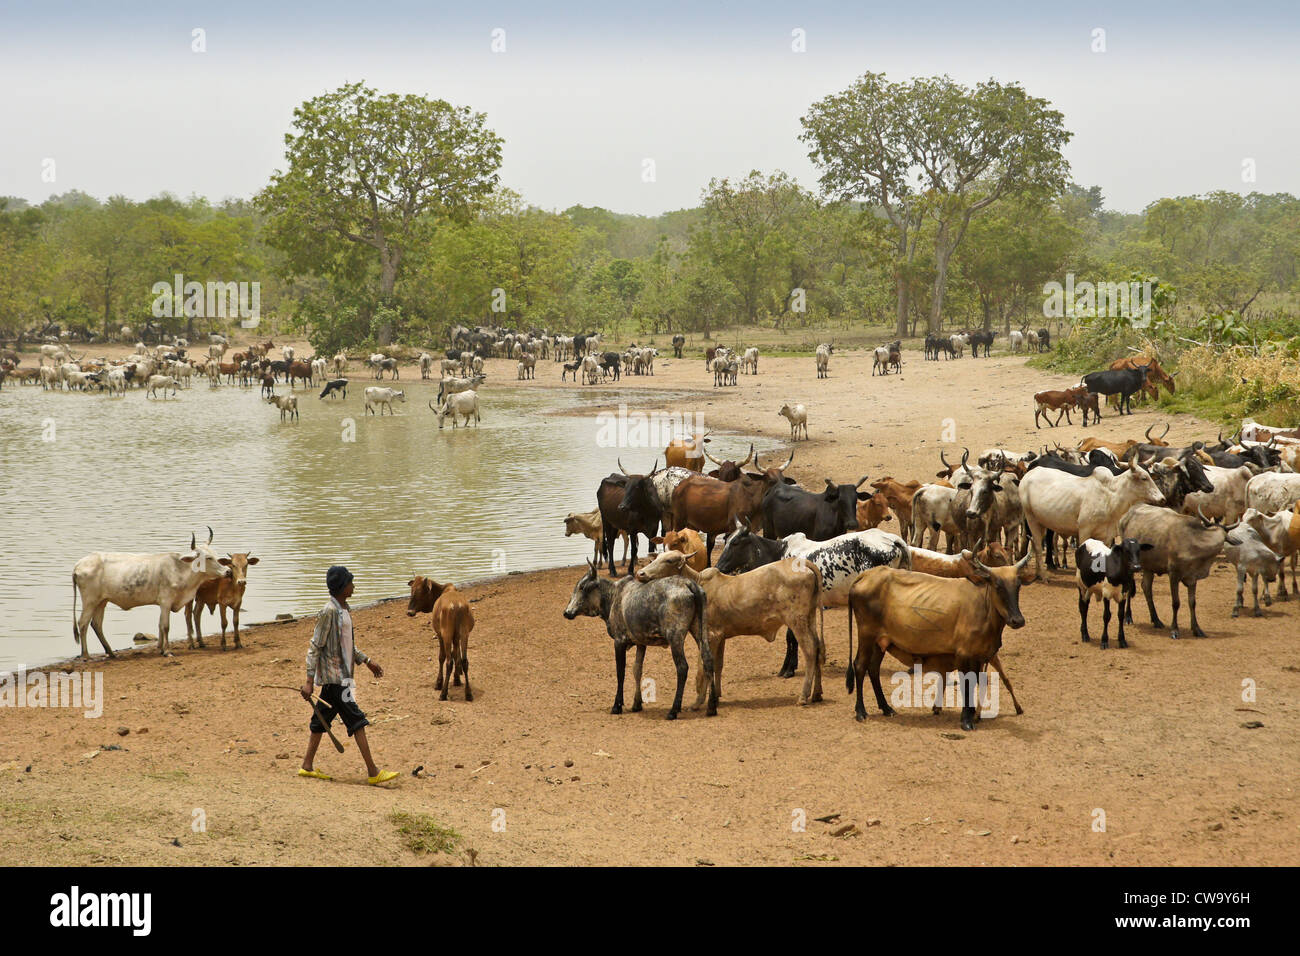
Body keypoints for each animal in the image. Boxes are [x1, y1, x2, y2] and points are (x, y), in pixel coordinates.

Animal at [72, 527, 233, 658]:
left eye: (216, 555)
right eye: (208, 558)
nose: (228, 571)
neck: (179, 570)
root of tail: (79, 564)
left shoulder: (162, 603)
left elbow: (160, 625)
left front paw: (161, 649)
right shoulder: (166, 601)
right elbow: (165, 626)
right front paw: (167, 651)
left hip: (102, 601)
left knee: (97, 624)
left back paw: (110, 653)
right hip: (90, 600)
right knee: (83, 623)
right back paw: (86, 655)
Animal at [563, 563, 716, 719]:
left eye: (582, 587)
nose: (567, 612)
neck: (613, 597)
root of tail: (689, 583)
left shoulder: (619, 641)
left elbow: (620, 672)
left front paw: (617, 705)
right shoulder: (641, 643)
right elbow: (637, 670)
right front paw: (636, 704)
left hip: (675, 636)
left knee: (682, 667)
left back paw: (674, 710)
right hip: (699, 629)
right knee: (708, 659)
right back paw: (711, 707)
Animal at [635, 551, 824, 708]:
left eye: (668, 560)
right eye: (656, 558)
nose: (640, 573)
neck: (697, 584)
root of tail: (804, 563)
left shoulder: (709, 636)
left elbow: (704, 666)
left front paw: (698, 701)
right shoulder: (721, 637)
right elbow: (718, 665)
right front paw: (716, 695)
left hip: (796, 621)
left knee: (810, 650)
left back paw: (804, 696)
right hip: (810, 618)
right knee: (817, 646)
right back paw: (817, 693)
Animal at [846, 551, 1036, 730]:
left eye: (1018, 586)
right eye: (998, 586)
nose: (1017, 620)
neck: (984, 607)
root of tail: (866, 575)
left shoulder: (980, 657)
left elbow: (974, 682)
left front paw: (972, 713)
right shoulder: (964, 655)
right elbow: (967, 684)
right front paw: (966, 720)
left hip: (880, 641)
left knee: (873, 669)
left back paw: (886, 708)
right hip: (866, 635)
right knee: (860, 666)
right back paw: (861, 711)